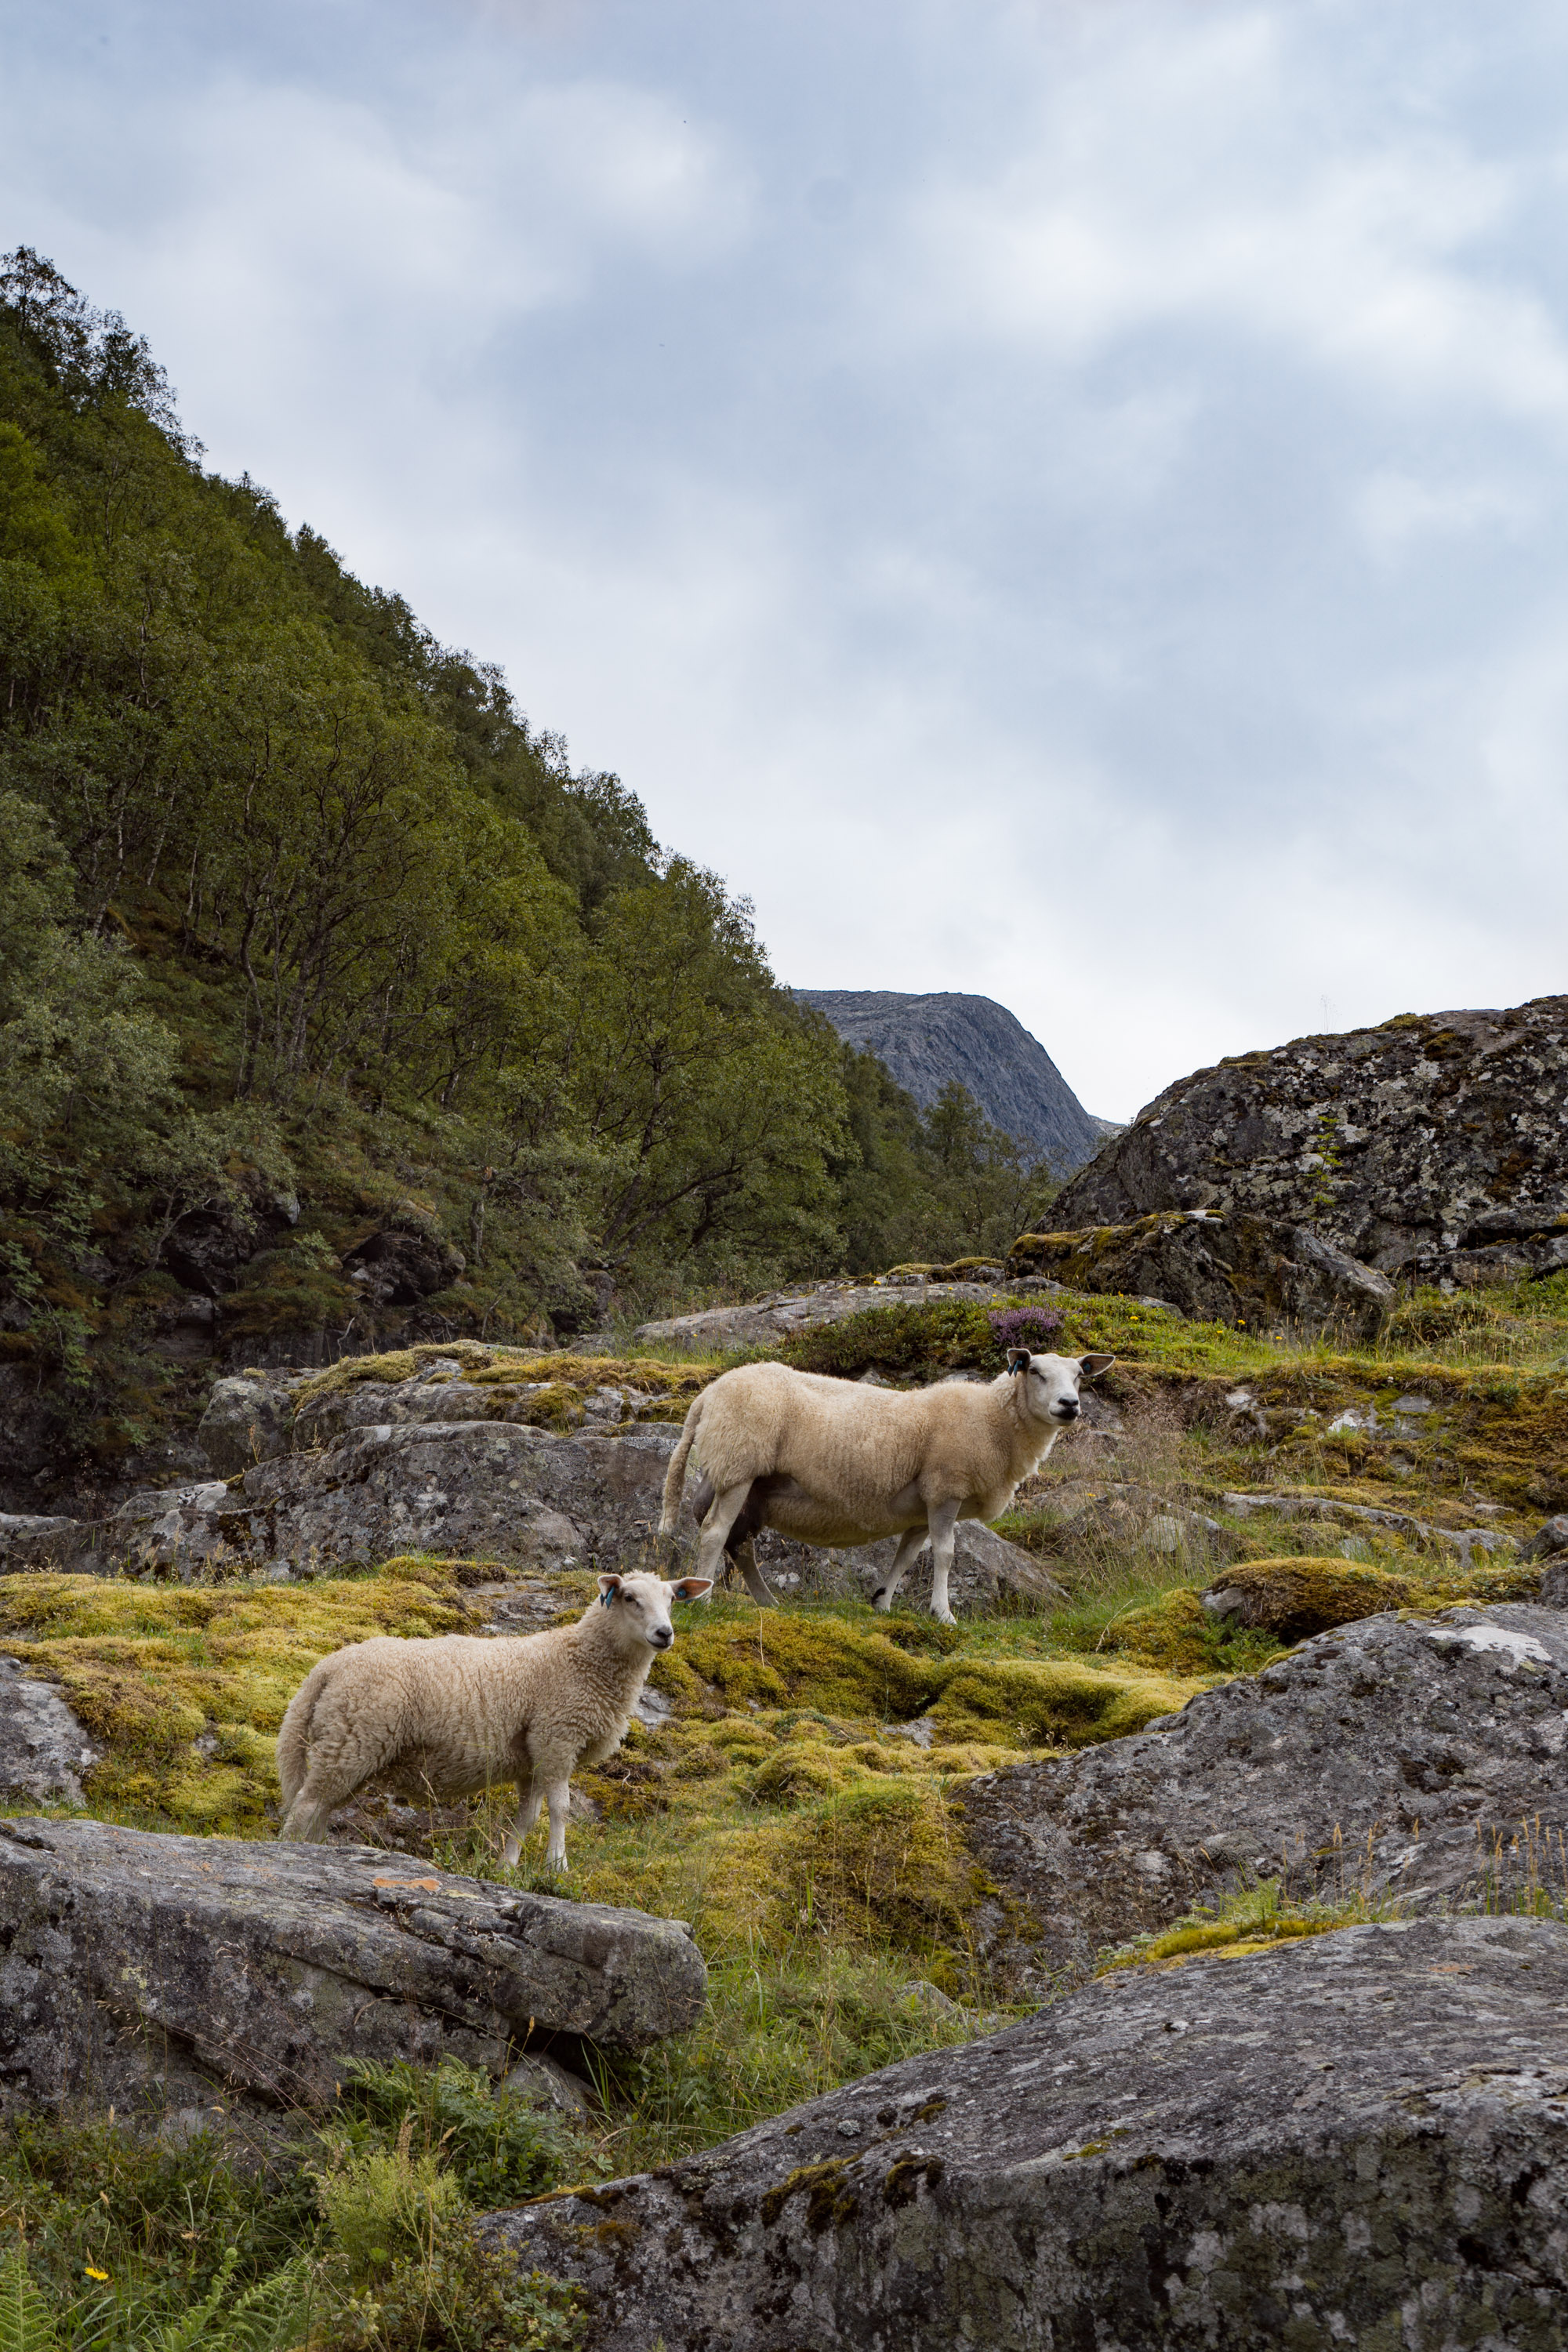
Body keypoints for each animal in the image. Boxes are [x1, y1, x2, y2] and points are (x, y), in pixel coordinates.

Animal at [274, 1568, 712, 1871]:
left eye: (673, 1599)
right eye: (629, 1597)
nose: (665, 1633)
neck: (580, 1660)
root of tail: (326, 1668)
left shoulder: (532, 1756)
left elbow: (528, 1817)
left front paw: (508, 1866)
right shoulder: (557, 1737)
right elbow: (561, 1809)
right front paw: (557, 1867)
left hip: (351, 1747)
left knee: (320, 1807)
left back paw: (314, 1852)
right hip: (352, 1740)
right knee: (306, 1806)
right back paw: (292, 1853)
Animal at [660, 1348, 1114, 1623]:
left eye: (1080, 1375)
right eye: (1035, 1372)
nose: (1070, 1405)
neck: (994, 1419)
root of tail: (707, 1396)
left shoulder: (922, 1505)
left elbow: (906, 1557)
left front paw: (883, 1603)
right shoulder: (945, 1488)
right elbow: (946, 1555)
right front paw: (943, 1614)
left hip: (748, 1484)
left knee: (740, 1545)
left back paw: (768, 1602)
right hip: (738, 1463)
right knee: (715, 1532)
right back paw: (705, 1600)